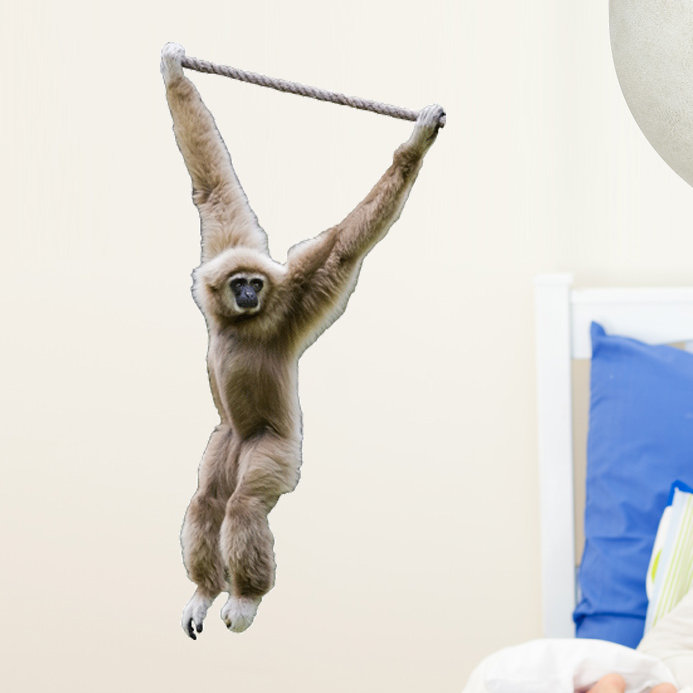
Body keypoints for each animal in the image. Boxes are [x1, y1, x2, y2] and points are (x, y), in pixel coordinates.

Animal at [160, 42, 444, 638]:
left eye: (255, 283)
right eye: (238, 283)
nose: (248, 292)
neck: (242, 321)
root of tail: (245, 439)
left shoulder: (292, 292)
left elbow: (342, 247)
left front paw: (415, 142)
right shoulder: (230, 248)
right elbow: (212, 187)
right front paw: (174, 73)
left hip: (276, 449)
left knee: (244, 504)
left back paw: (244, 599)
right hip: (226, 439)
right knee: (207, 500)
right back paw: (205, 590)